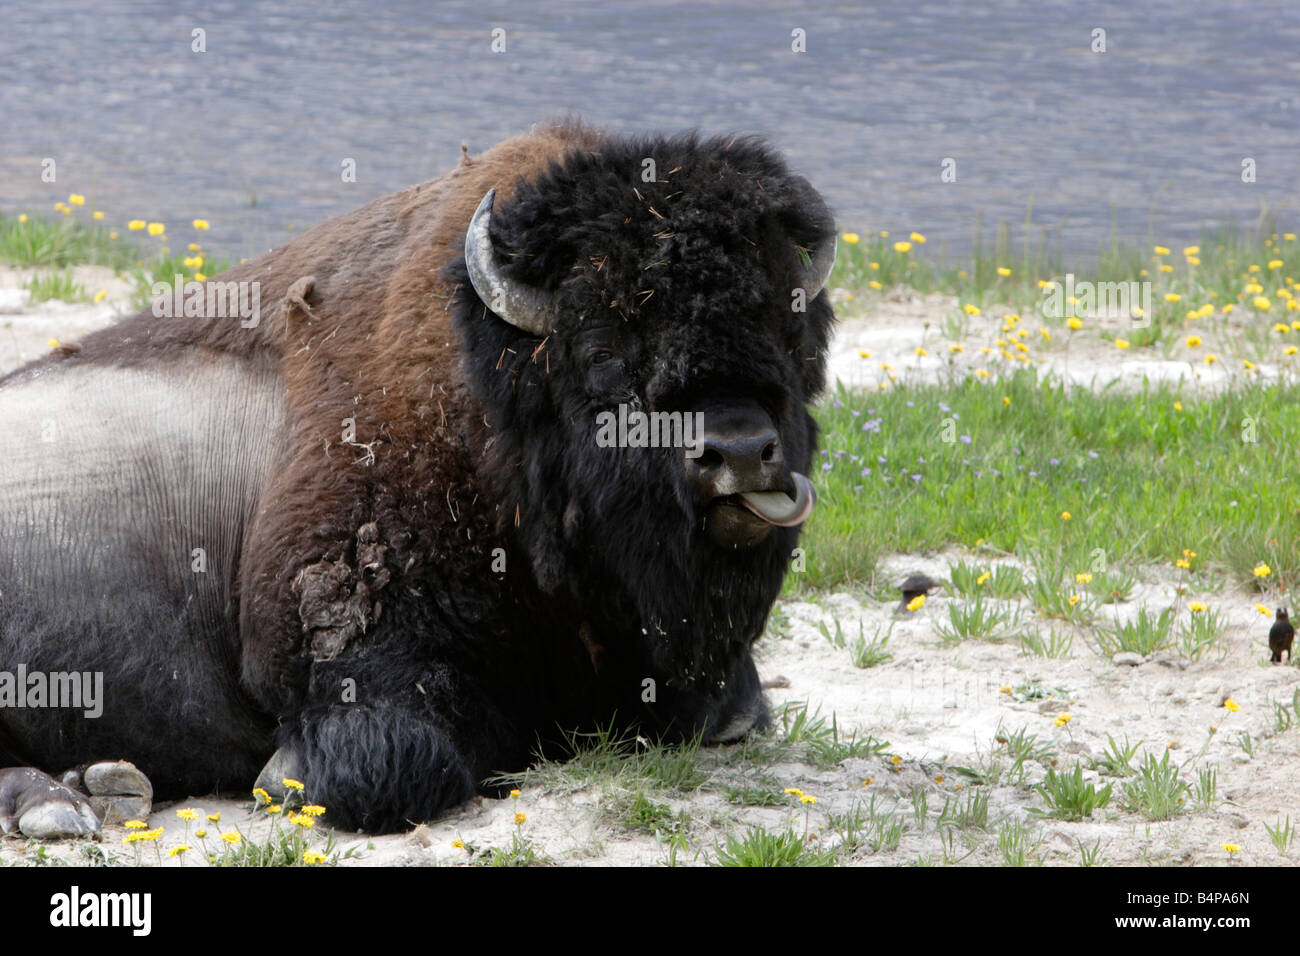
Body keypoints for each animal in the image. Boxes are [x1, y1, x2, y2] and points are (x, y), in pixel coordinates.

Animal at [0, 120, 836, 835]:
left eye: (790, 335)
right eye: (603, 352)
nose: (739, 451)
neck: (491, 407)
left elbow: (731, 714)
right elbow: (395, 761)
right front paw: (278, 774)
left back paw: (102, 784)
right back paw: (66, 805)